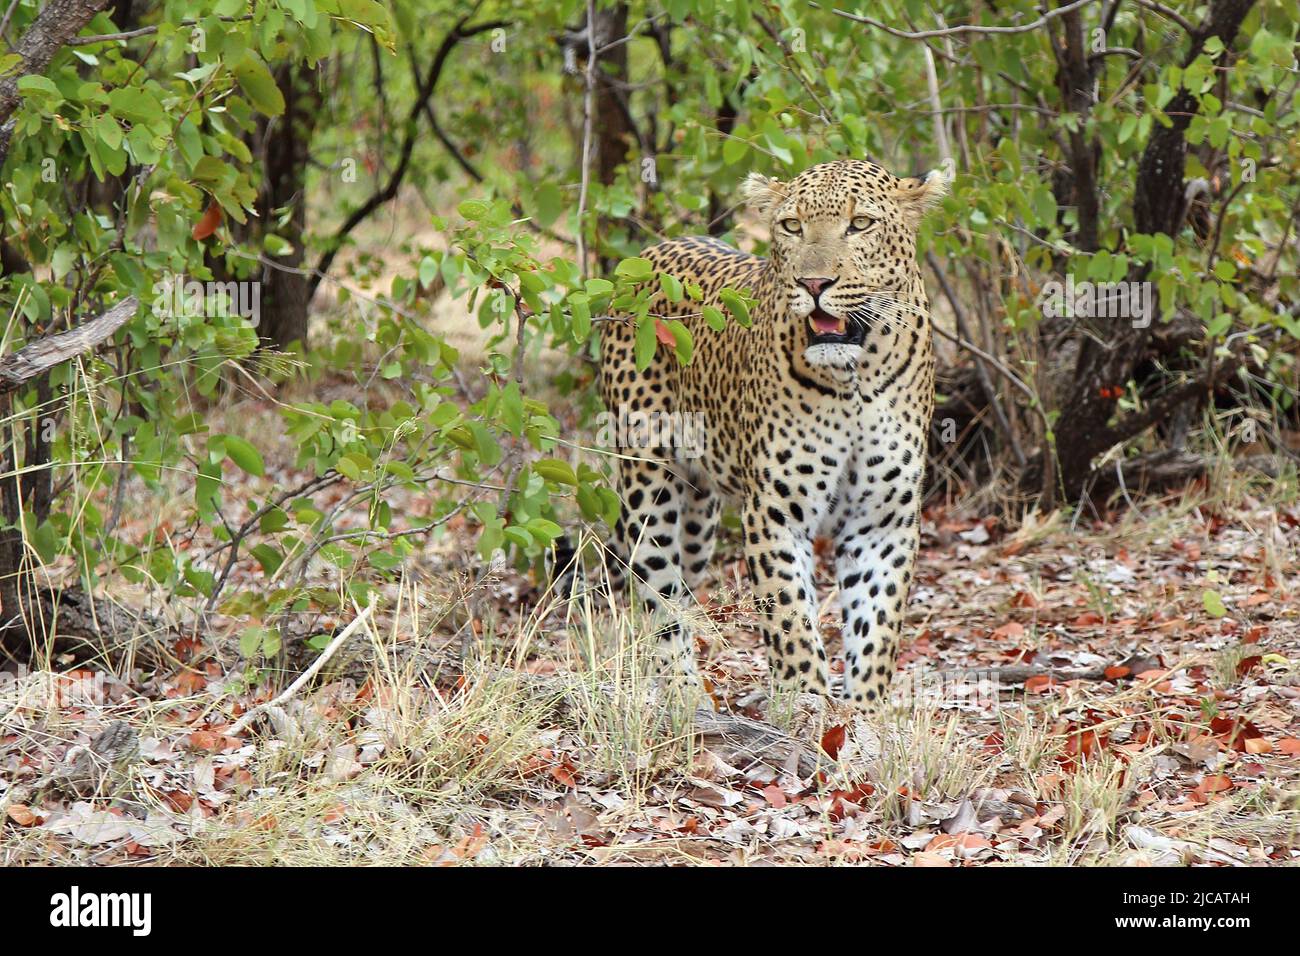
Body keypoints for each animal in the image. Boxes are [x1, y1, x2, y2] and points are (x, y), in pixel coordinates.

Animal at [598, 158, 949, 709]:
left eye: (861, 224)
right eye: (791, 226)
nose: (815, 282)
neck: (854, 379)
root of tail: (647, 255)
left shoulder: (883, 520)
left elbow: (876, 623)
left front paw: (865, 711)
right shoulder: (776, 511)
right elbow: (790, 620)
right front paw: (806, 705)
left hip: (698, 516)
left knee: (684, 585)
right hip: (647, 483)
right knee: (660, 597)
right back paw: (683, 693)